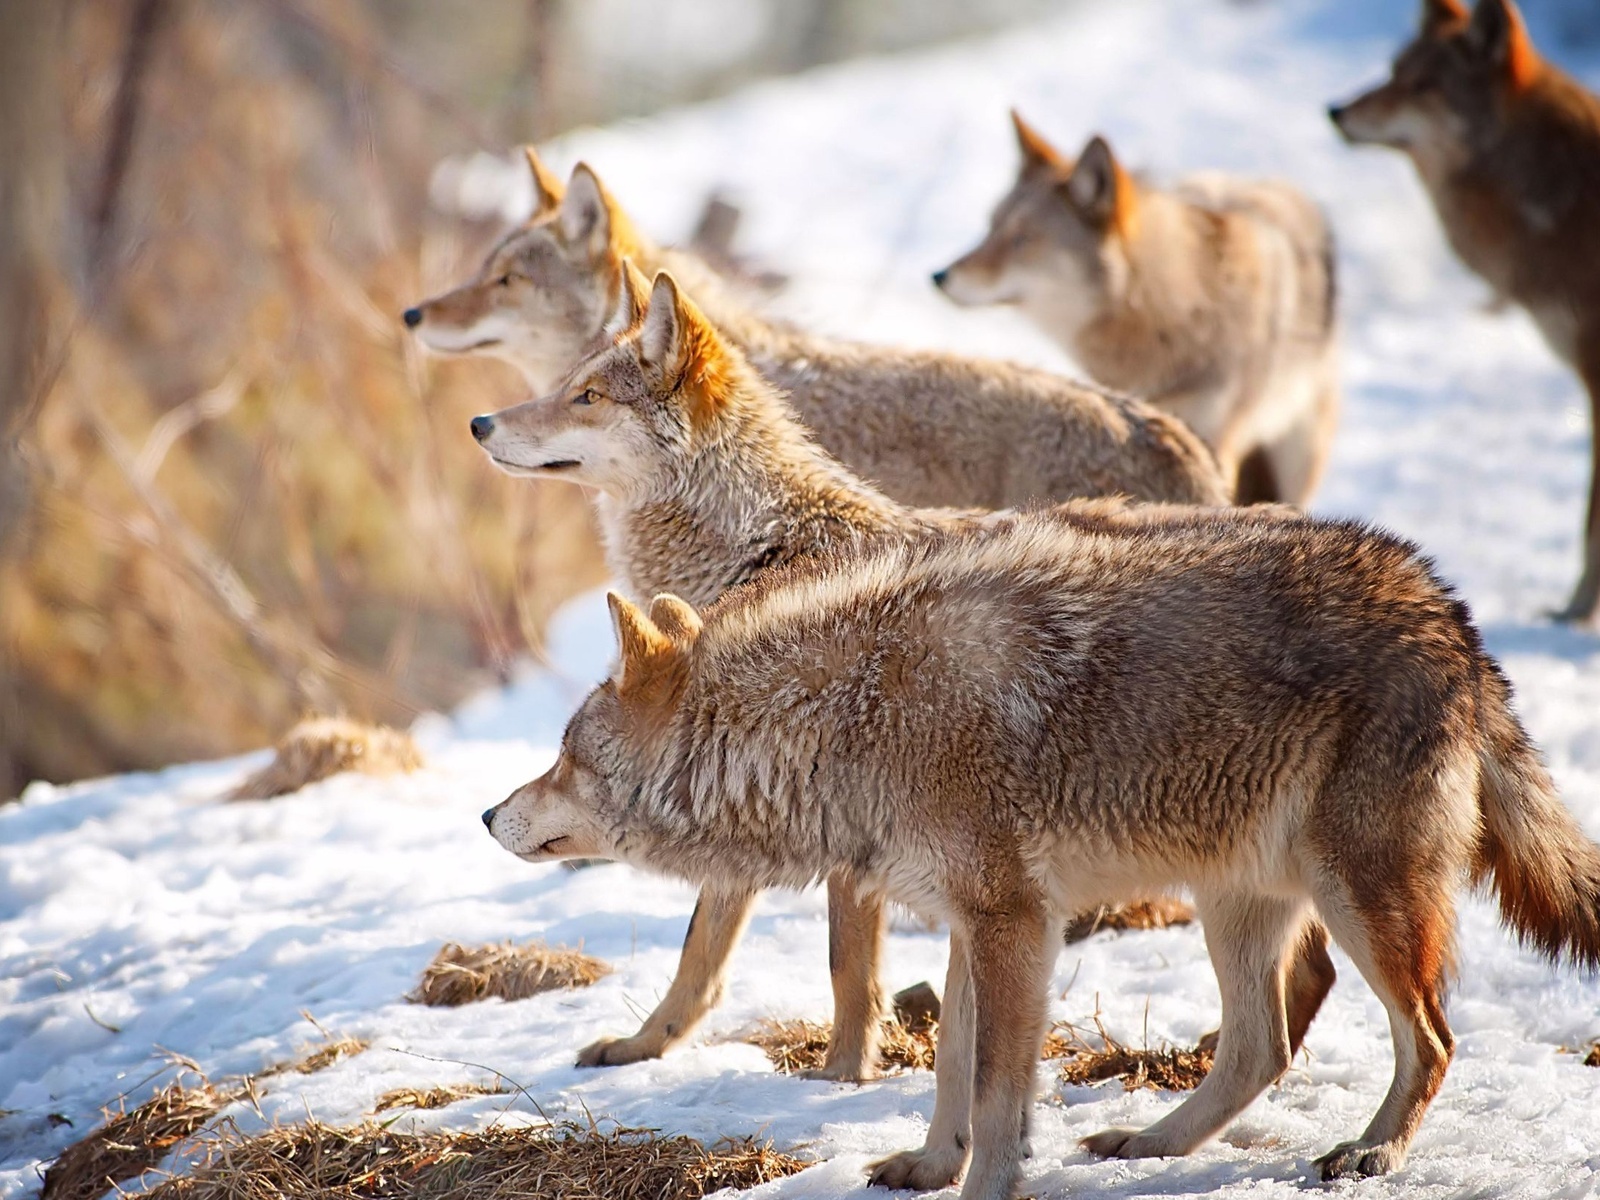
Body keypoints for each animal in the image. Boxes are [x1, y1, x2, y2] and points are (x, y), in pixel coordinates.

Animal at [469, 264, 1335, 1082]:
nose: (479, 423)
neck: (764, 549)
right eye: (563, 381)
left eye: (585, 395)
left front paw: (843, 1075)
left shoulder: (831, 816)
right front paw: (644, 1047)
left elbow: (844, 967)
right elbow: (700, 955)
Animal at [484, 511, 1600, 1200]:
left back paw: (1370, 1153)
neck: (847, 717)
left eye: (563, 756)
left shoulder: (1016, 923)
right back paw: (1147, 1144)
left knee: (1432, 1040)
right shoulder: (974, 927)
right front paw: (928, 1167)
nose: (490, 814)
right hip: (1234, 901)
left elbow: (991, 1093)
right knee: (1261, 1046)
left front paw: (981, 1187)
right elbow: (949, 1070)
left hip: (1358, 900)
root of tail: (1452, 614)